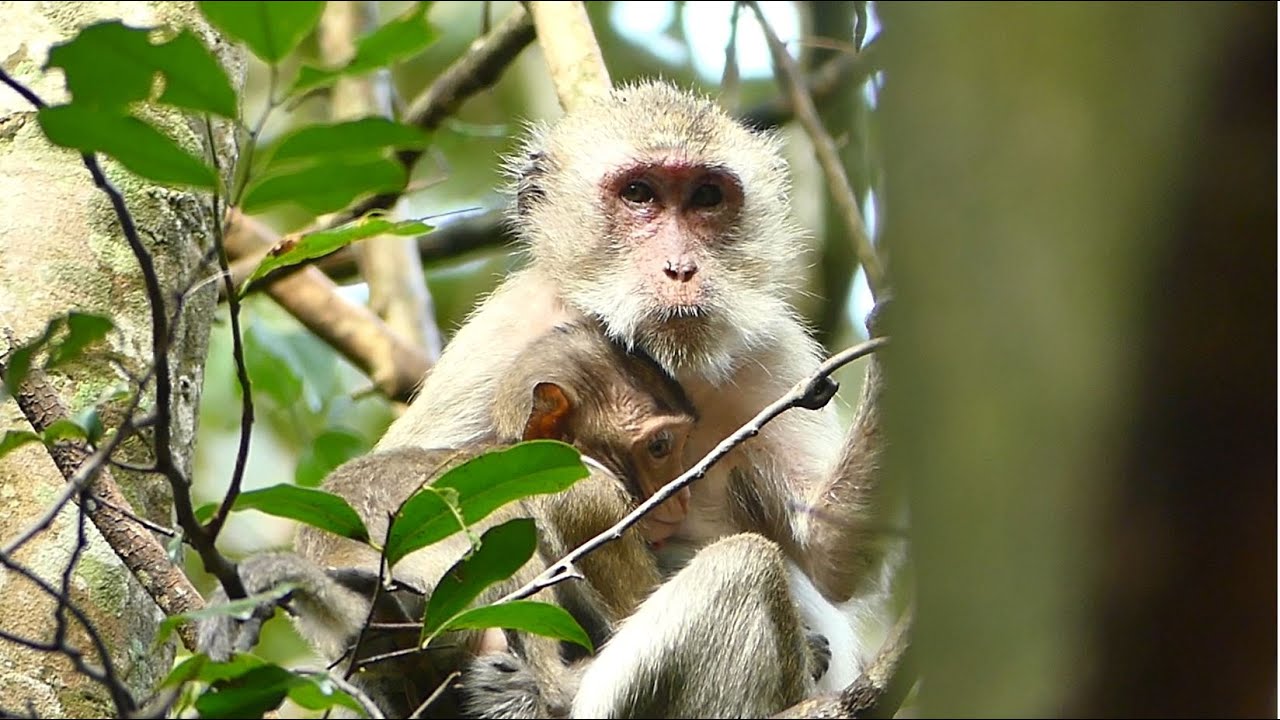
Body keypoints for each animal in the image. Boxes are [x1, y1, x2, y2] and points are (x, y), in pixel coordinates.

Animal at [373, 80, 894, 716]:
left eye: (706, 198)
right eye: (639, 194)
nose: (681, 268)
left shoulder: (771, 355)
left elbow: (829, 553)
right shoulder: (499, 337)